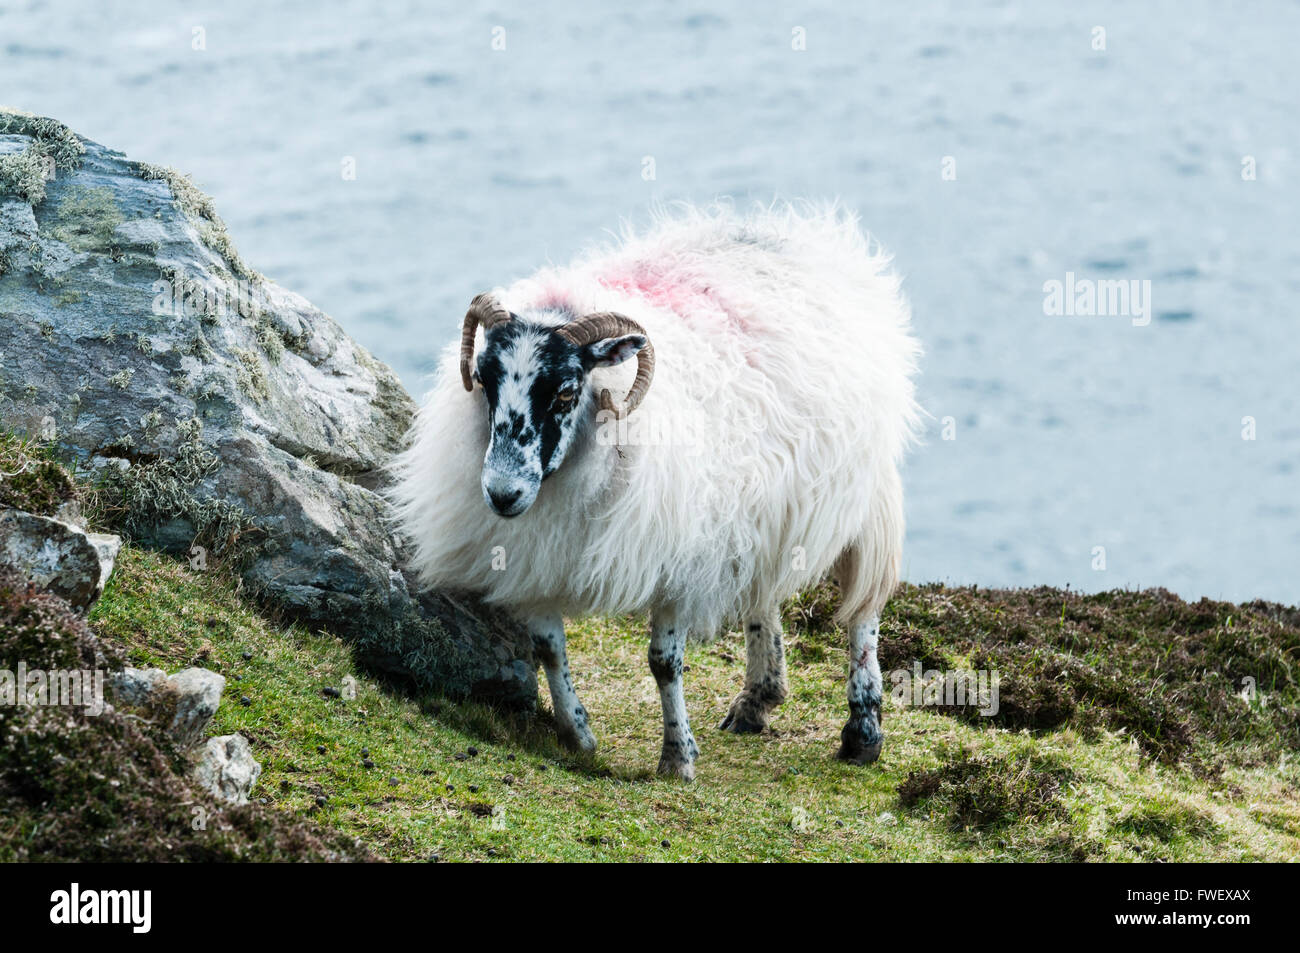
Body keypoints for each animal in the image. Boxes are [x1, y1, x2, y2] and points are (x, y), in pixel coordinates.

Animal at [390, 202, 921, 780]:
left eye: (567, 392)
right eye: (483, 379)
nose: (502, 494)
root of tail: (806, 236)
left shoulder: (673, 553)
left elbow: (664, 663)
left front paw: (677, 757)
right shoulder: (534, 557)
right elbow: (549, 649)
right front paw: (577, 735)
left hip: (861, 491)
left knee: (863, 609)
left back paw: (862, 731)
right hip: (758, 506)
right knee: (764, 591)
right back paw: (758, 699)